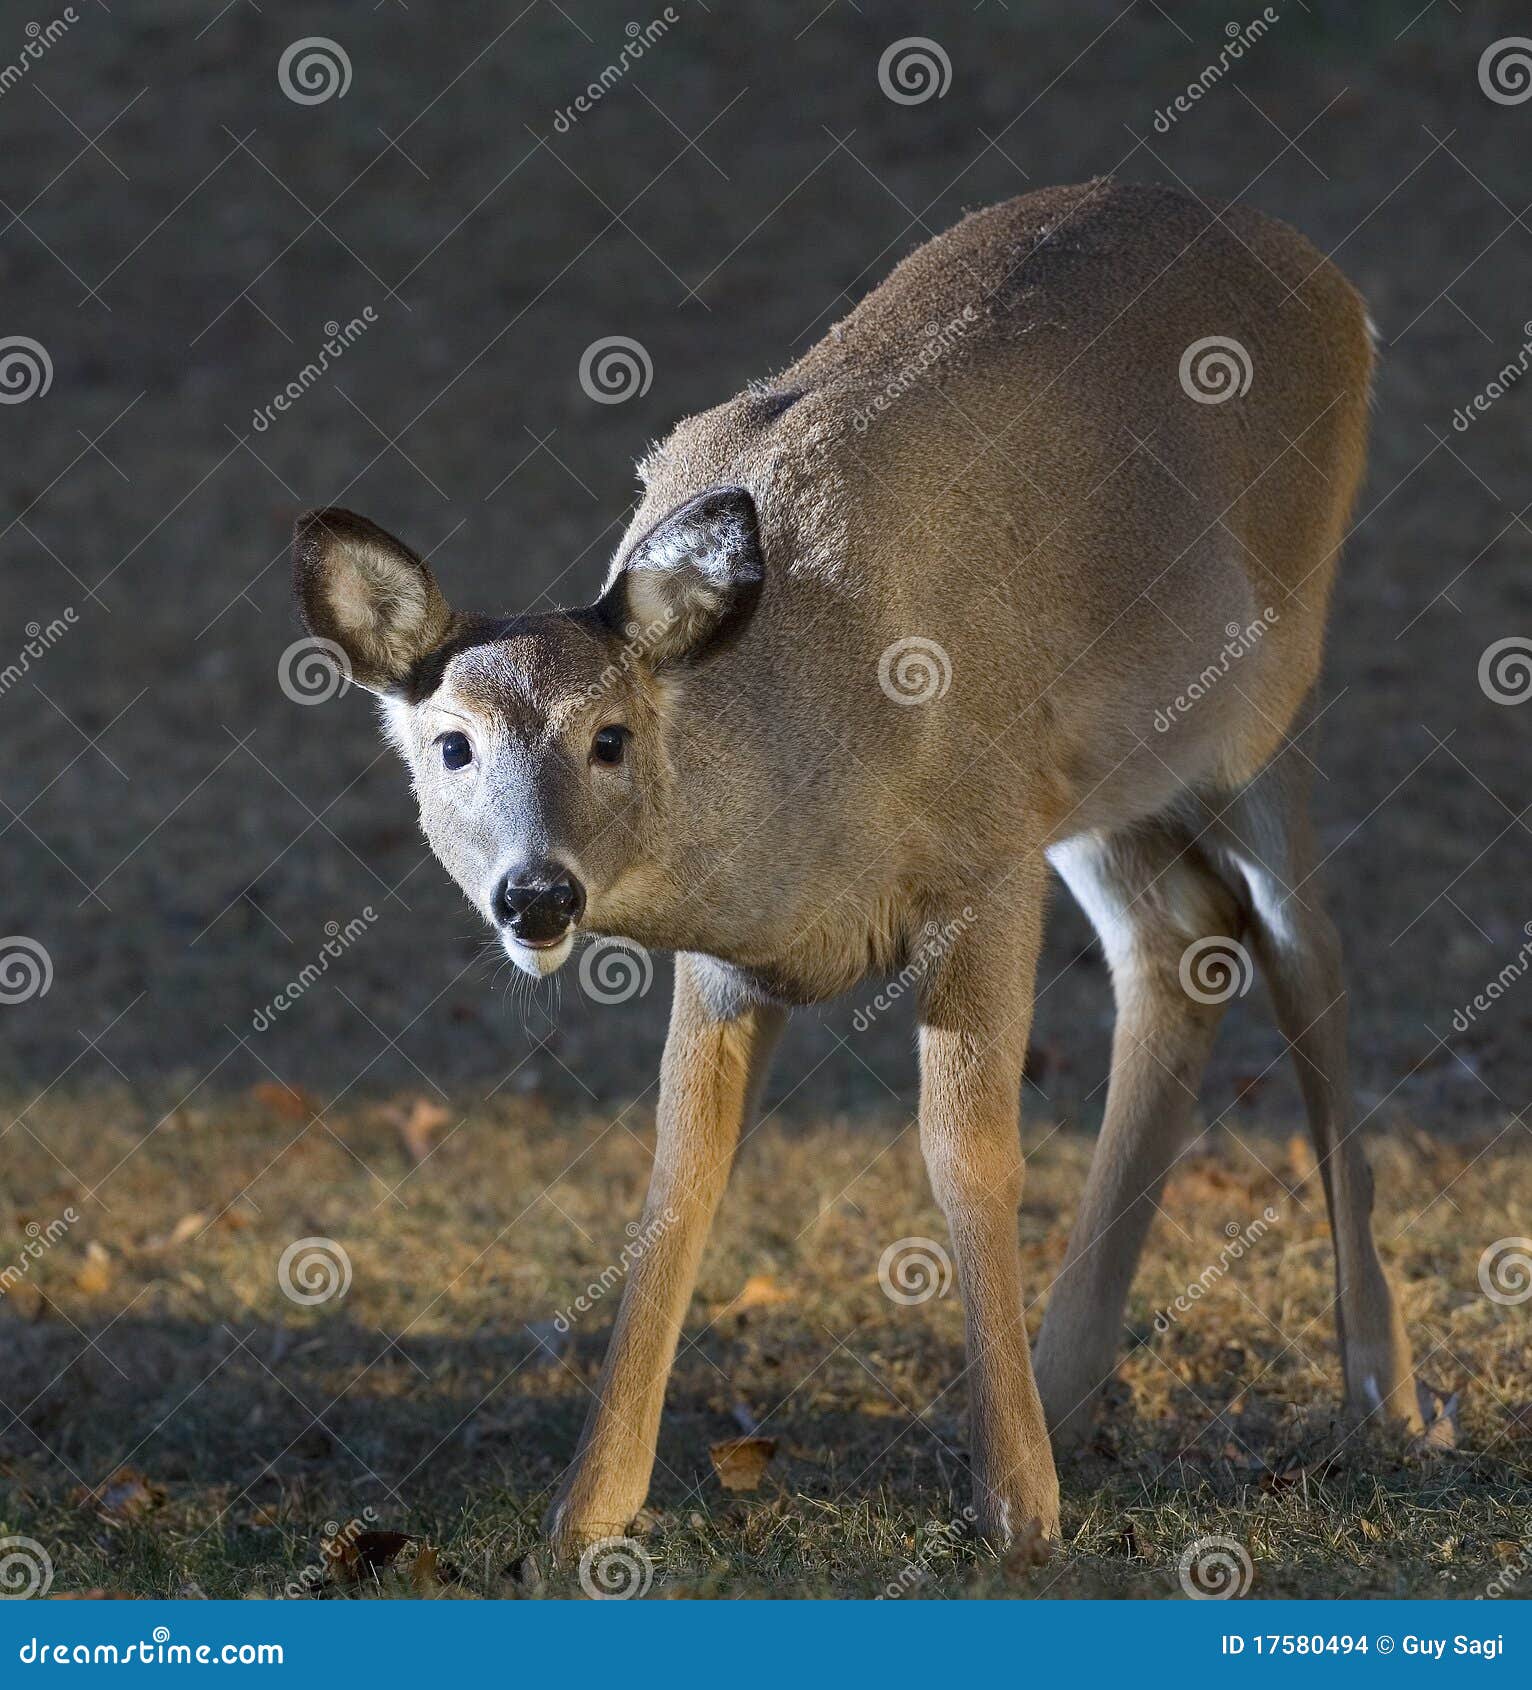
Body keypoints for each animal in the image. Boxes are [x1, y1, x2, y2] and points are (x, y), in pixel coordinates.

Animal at [291, 179, 1425, 1556]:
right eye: (449, 743)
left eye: (609, 736)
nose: (538, 892)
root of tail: (1329, 284)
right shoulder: (734, 955)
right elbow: (678, 1173)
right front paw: (585, 1510)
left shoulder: (984, 862)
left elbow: (965, 1154)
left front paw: (1015, 1506)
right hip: (1097, 784)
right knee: (1182, 942)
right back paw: (1068, 1381)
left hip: (1261, 691)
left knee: (1306, 951)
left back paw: (1377, 1389)